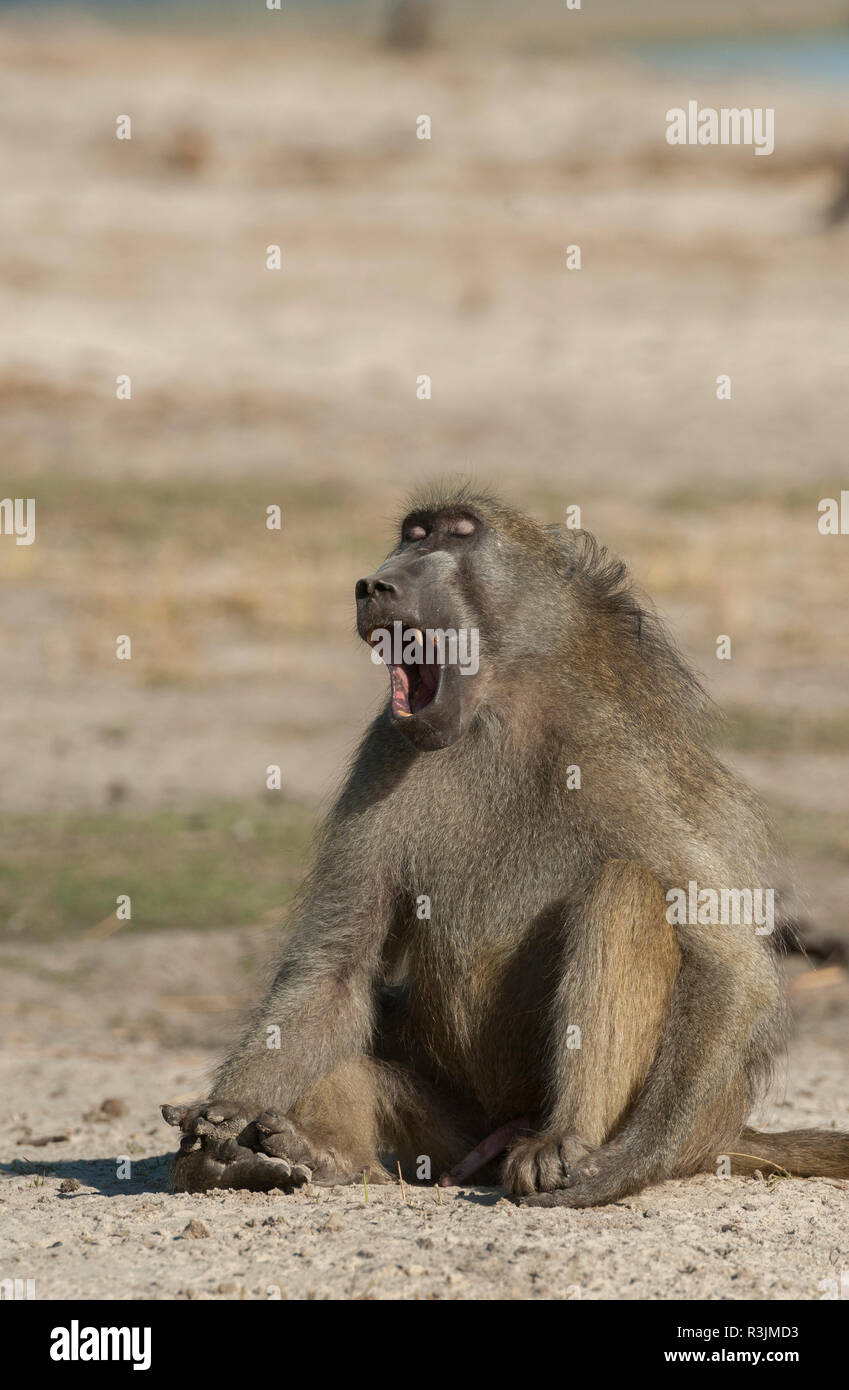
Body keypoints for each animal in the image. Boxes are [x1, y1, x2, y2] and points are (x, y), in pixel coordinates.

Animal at [162, 487, 849, 1207]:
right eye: (413, 535)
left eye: (459, 533)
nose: (374, 583)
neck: (495, 713)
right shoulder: (385, 750)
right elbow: (334, 972)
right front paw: (219, 1130)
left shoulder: (611, 753)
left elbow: (728, 962)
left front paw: (628, 1162)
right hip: (454, 1134)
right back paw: (315, 1156)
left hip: (689, 1113)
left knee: (624, 889)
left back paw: (563, 1141)